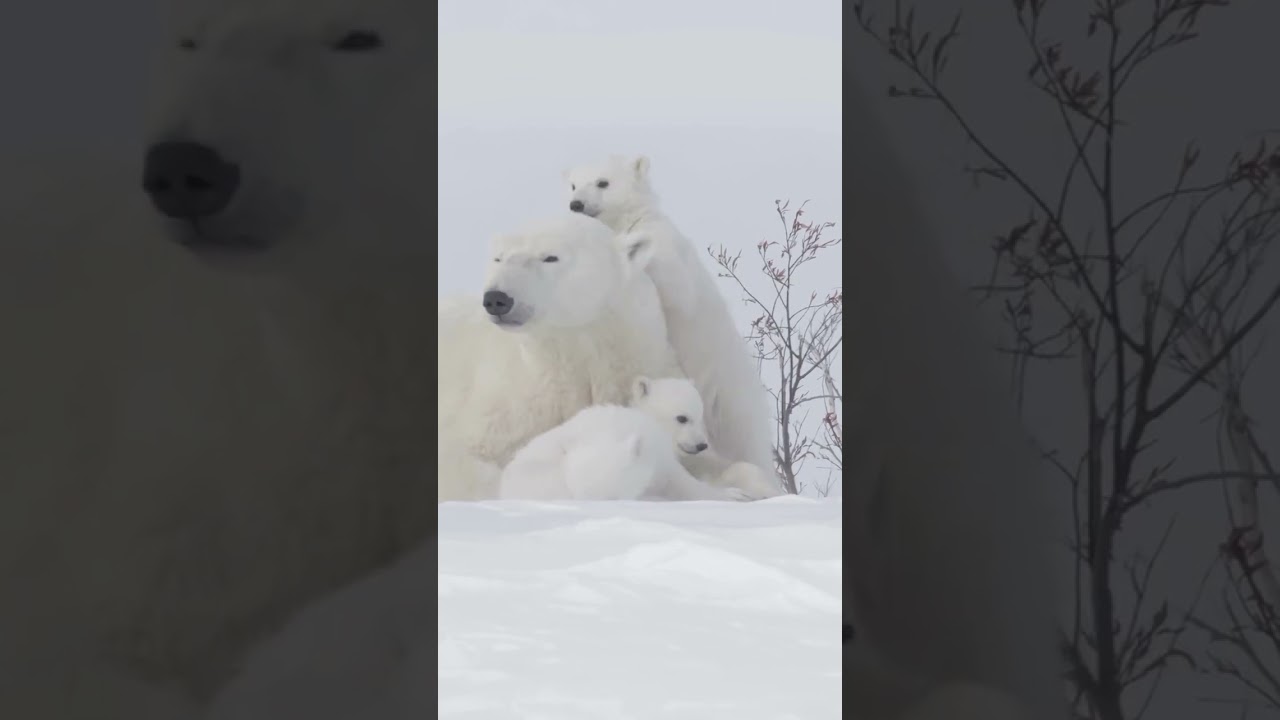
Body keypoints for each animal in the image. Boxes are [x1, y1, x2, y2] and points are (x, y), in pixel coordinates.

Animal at [498, 376, 762, 502]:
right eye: (682, 417)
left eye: (699, 416)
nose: (701, 445)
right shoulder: (653, 447)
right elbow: (680, 480)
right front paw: (734, 494)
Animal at [564, 155, 780, 484]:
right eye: (574, 184)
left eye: (603, 182)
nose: (576, 204)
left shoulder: (668, 248)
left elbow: (676, 285)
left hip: (729, 401)